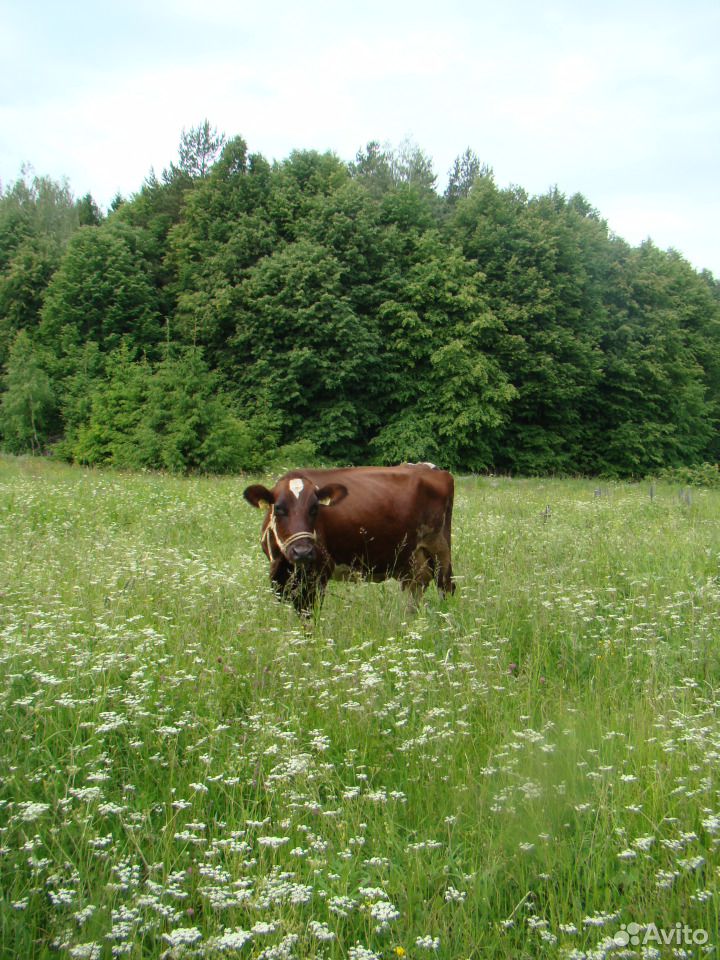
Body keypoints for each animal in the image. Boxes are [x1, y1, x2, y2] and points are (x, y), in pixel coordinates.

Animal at [243, 464, 455, 615]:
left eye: (315, 508)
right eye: (279, 508)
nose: (302, 552)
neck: (284, 563)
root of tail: (432, 468)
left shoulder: (319, 571)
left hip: (440, 549)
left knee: (446, 586)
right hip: (410, 559)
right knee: (415, 589)